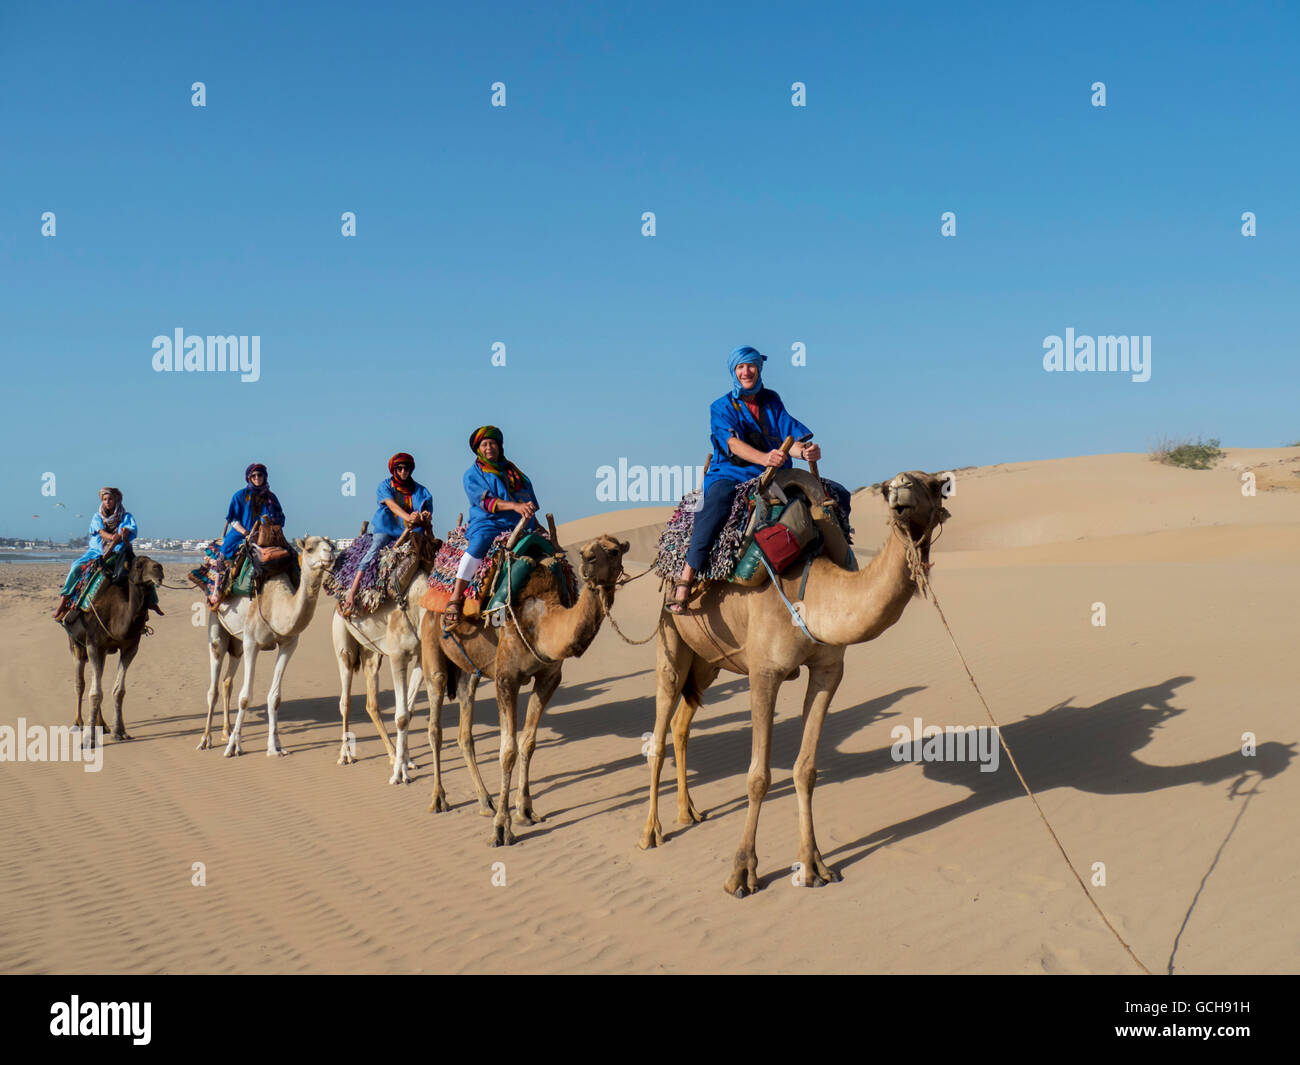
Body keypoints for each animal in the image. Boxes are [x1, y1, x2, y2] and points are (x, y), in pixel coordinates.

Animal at [63, 555, 165, 745]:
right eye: (138, 565)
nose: (159, 569)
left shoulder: (130, 647)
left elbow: (119, 691)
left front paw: (119, 732)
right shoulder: (93, 645)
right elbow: (95, 693)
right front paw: (89, 739)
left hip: (101, 652)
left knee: (97, 680)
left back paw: (102, 724)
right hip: (76, 644)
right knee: (81, 683)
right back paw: (78, 723)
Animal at [199, 536, 337, 757]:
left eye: (331, 544)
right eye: (309, 548)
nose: (329, 553)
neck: (276, 606)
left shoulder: (289, 644)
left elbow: (275, 698)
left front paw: (275, 747)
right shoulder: (252, 643)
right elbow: (245, 697)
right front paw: (233, 747)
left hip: (237, 642)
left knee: (228, 681)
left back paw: (226, 732)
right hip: (216, 624)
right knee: (213, 686)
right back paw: (206, 739)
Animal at [418, 534, 631, 846]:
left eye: (614, 551)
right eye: (583, 550)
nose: (588, 561)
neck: (542, 618)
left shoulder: (548, 677)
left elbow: (528, 743)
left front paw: (525, 811)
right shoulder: (506, 678)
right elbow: (508, 751)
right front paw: (501, 828)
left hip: (470, 671)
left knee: (464, 732)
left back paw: (484, 801)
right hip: (432, 650)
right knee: (435, 725)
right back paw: (438, 798)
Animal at [639, 471, 951, 897]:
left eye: (936, 485)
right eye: (894, 486)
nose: (900, 487)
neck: (812, 592)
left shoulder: (828, 670)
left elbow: (806, 770)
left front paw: (813, 865)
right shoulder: (764, 672)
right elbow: (758, 777)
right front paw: (743, 872)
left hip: (707, 662)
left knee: (681, 723)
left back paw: (688, 813)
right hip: (671, 634)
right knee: (659, 730)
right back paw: (650, 833)